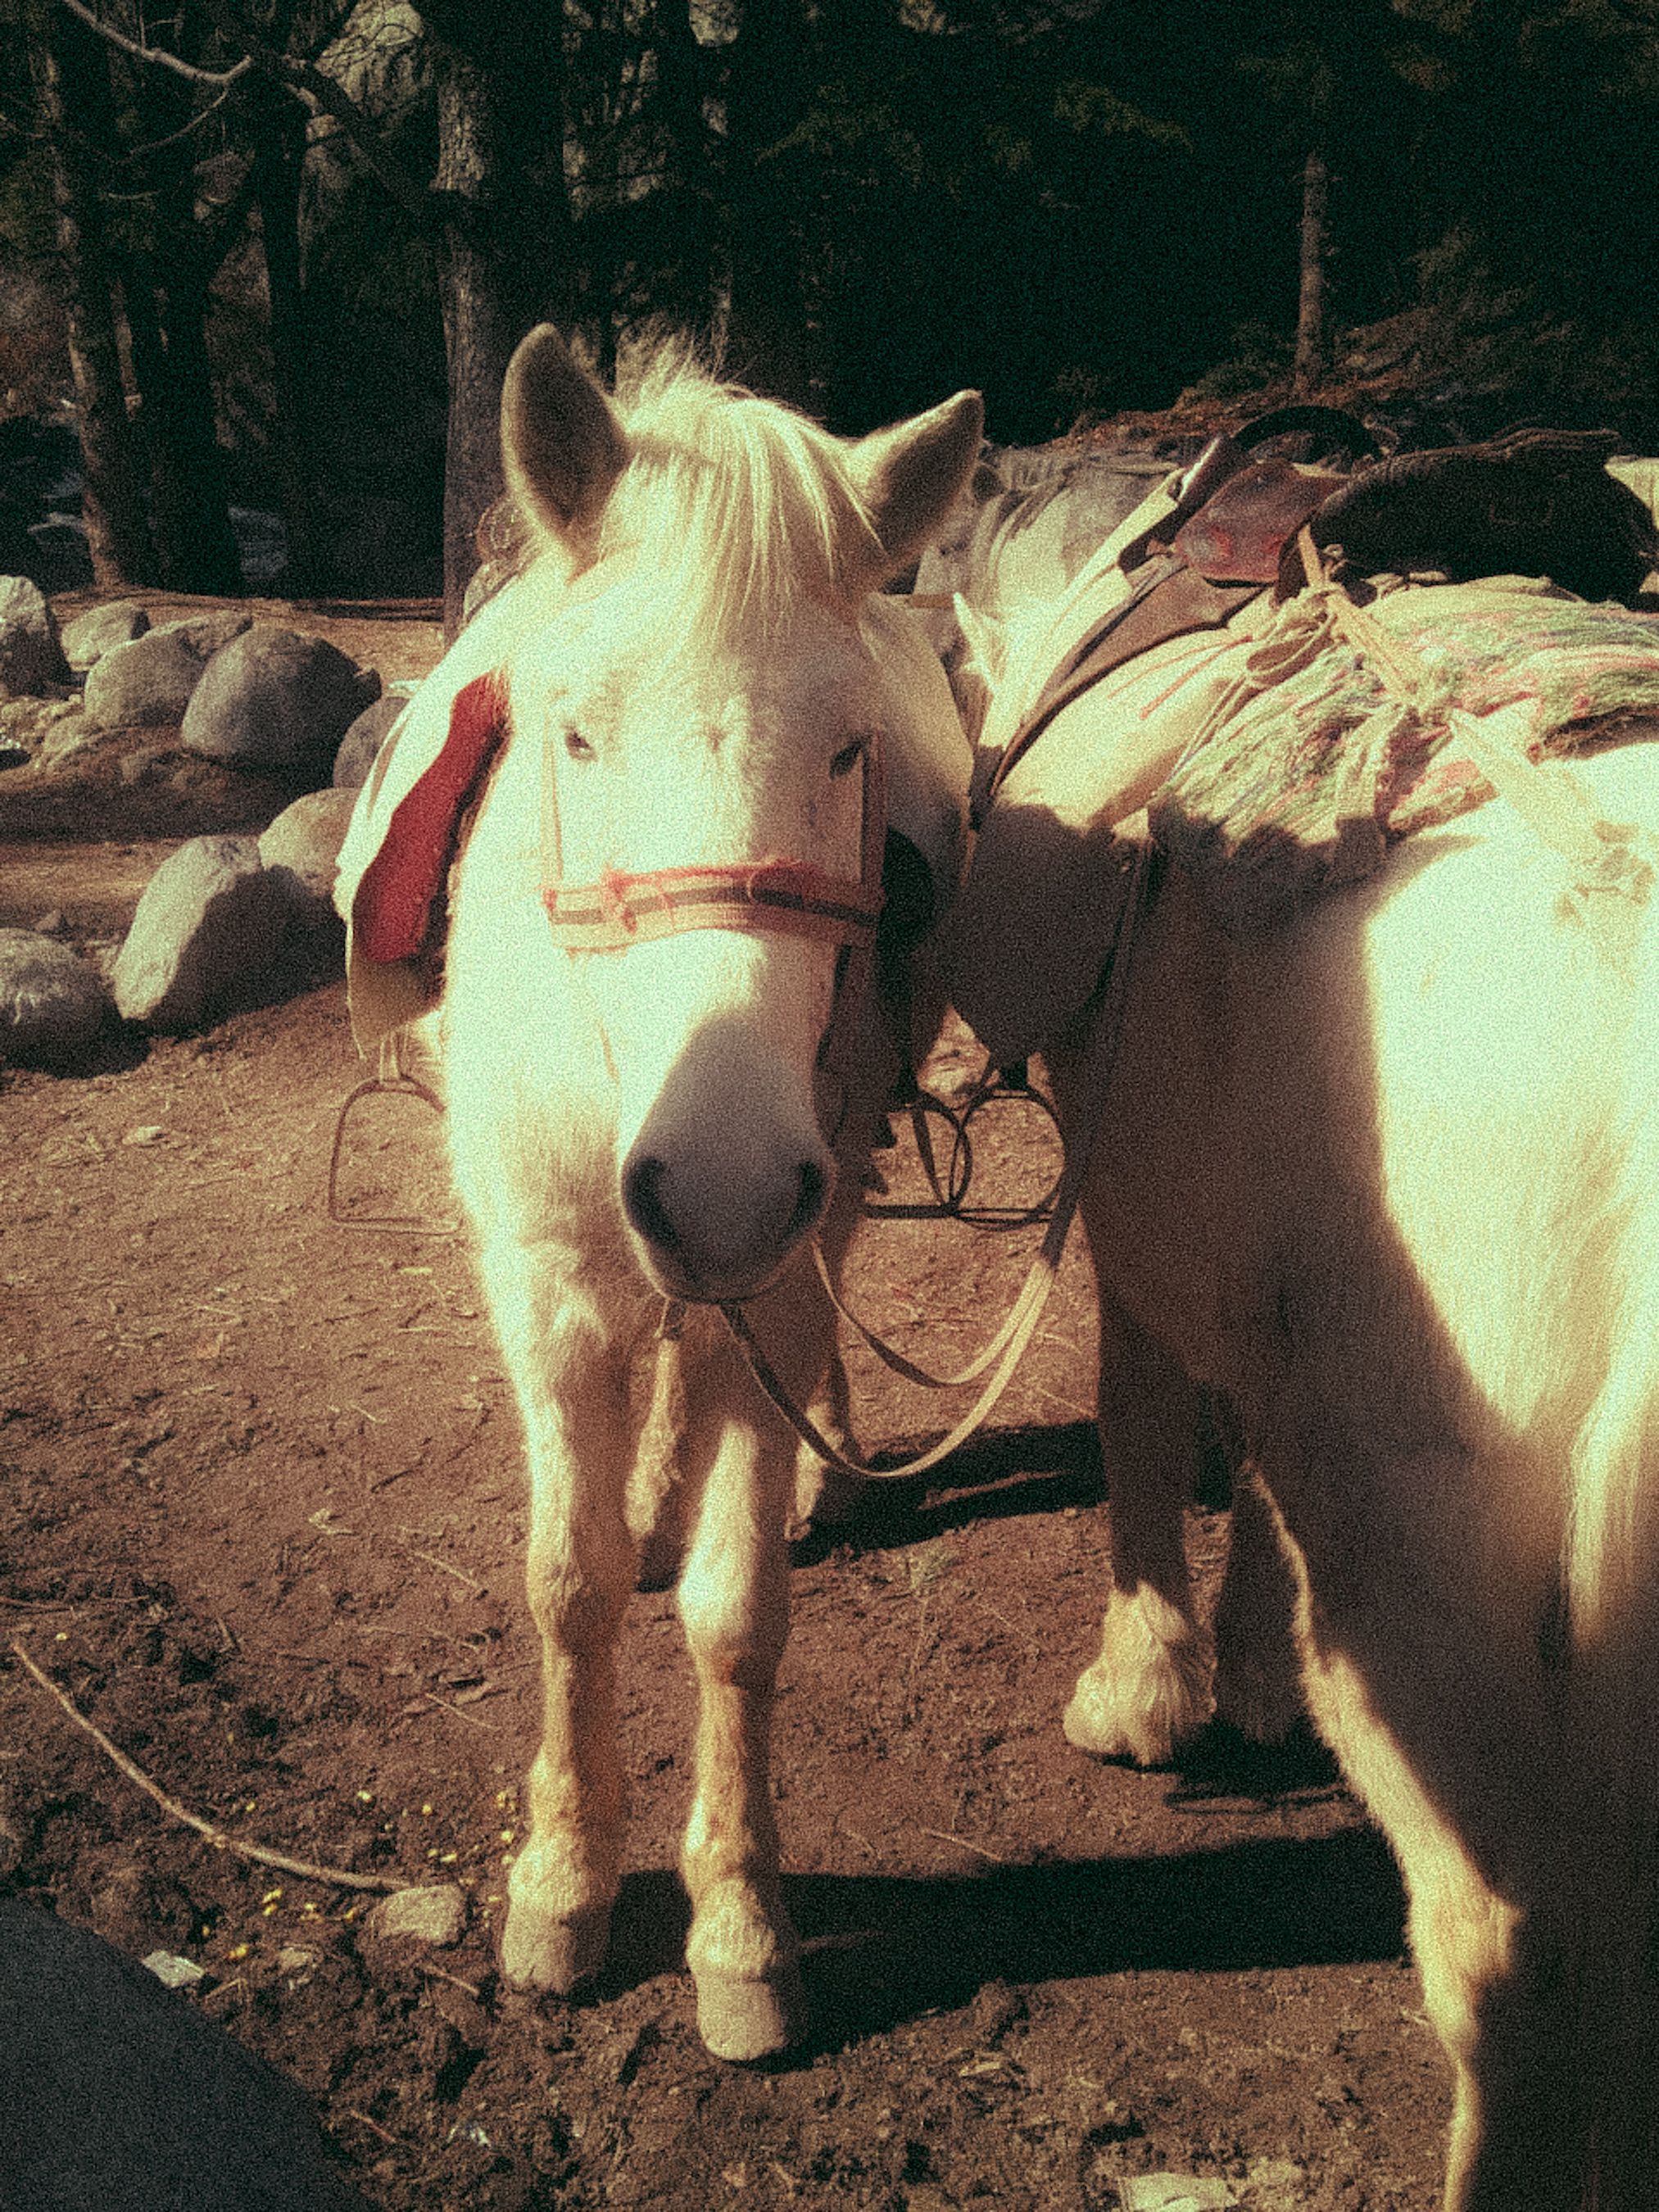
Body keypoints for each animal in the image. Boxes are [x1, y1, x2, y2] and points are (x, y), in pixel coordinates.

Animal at [334, 325, 982, 2062]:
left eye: (851, 745)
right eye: (573, 733)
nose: (723, 1176)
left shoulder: (782, 1261)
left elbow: (734, 1612)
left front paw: (739, 1925)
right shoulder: (554, 1283)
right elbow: (564, 1589)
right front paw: (563, 1880)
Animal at [941, 448, 1659, 2207]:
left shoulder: (1128, 1207)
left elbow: (1138, 1416)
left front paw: (1144, 1695)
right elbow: (1254, 1472)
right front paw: (1247, 1669)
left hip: (1432, 1609)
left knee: (1510, 1955)